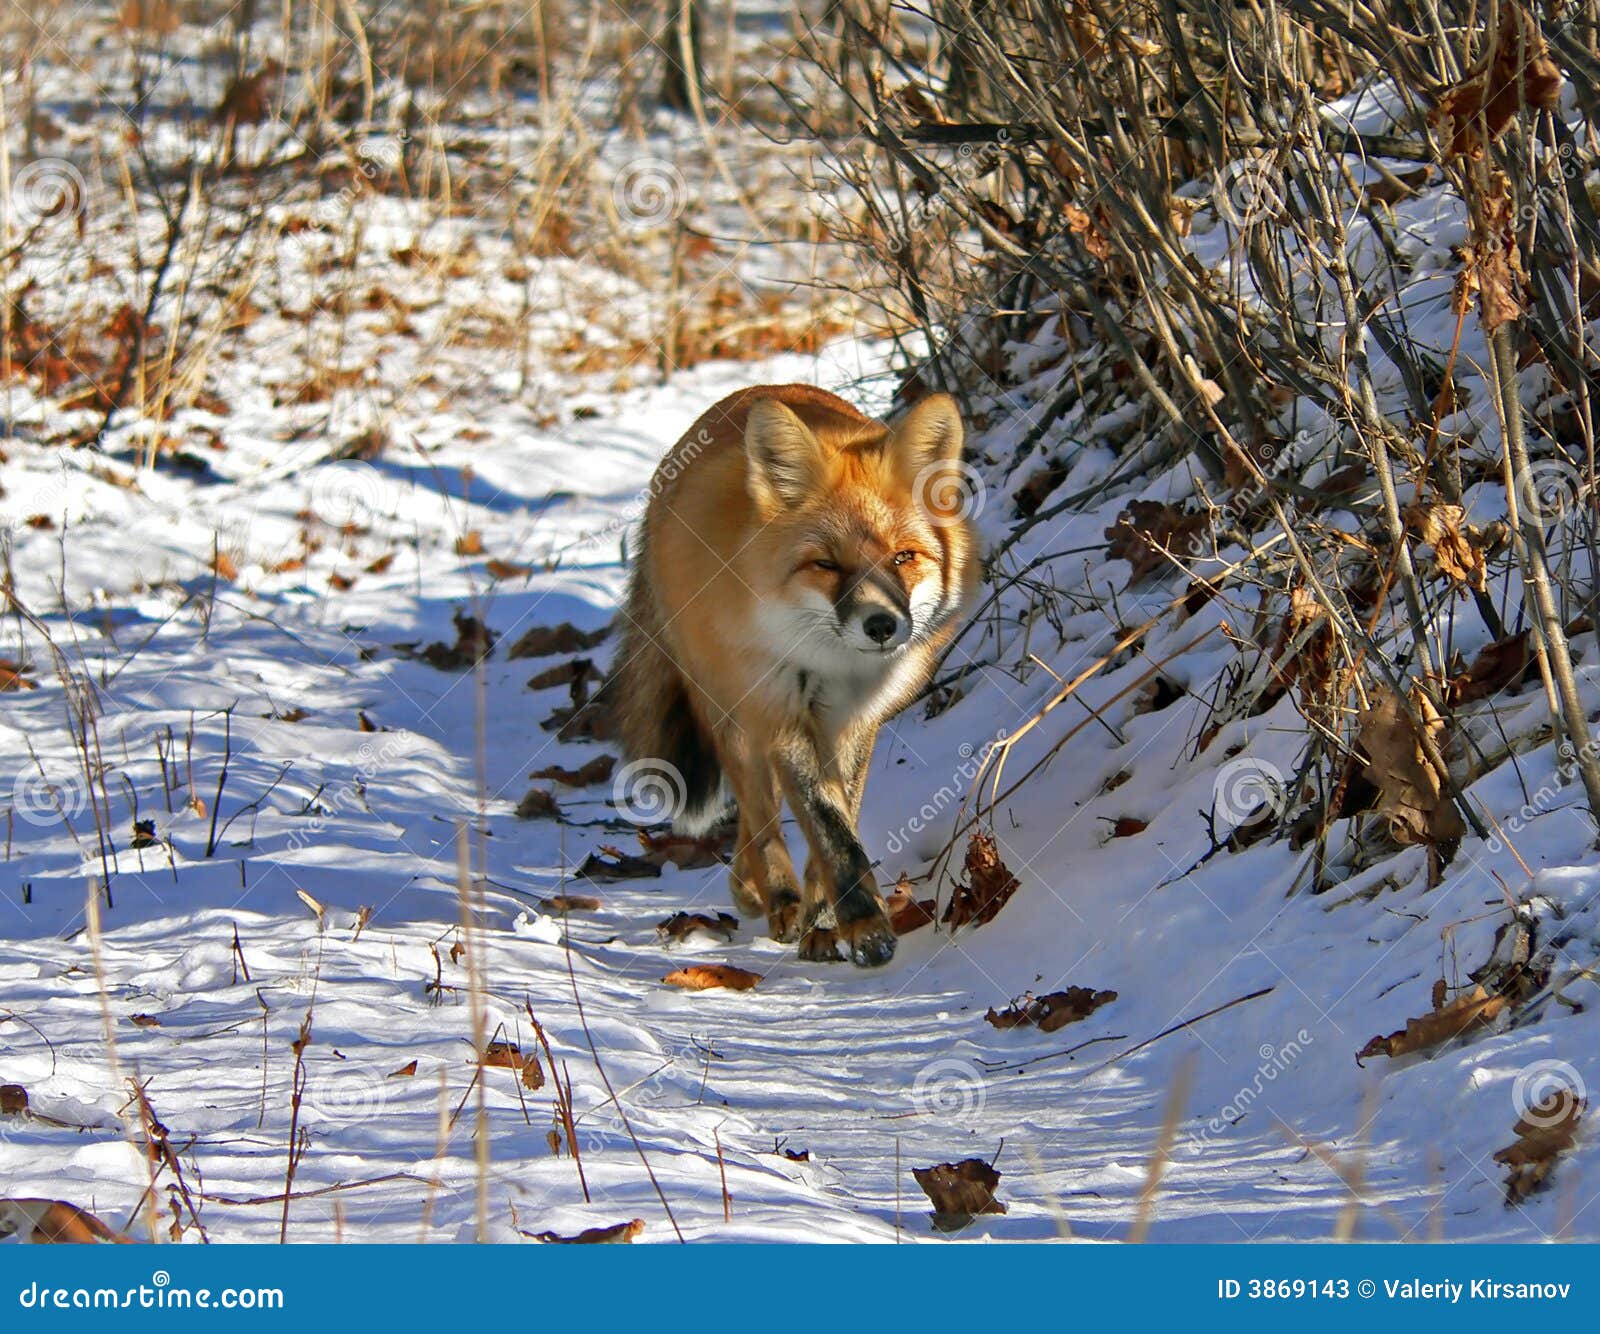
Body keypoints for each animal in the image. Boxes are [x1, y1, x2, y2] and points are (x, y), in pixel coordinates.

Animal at [611, 384, 980, 967]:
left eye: (904, 557)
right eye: (827, 565)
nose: (881, 626)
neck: (836, 665)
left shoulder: (854, 720)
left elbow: (840, 814)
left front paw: (826, 922)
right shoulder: (782, 709)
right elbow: (828, 827)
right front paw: (863, 924)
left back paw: (756, 889)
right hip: (732, 711)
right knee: (757, 809)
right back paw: (775, 894)